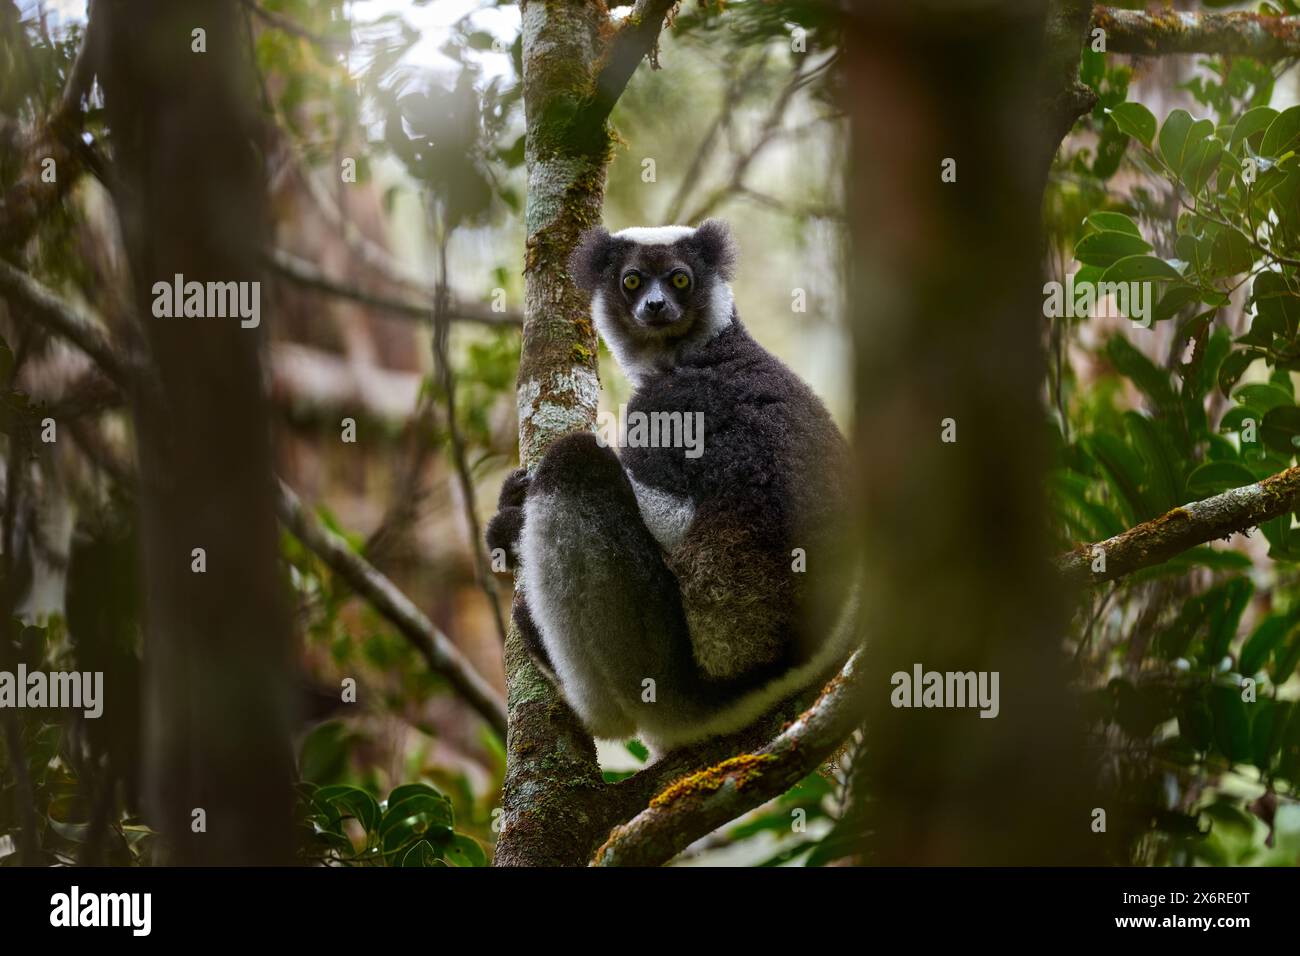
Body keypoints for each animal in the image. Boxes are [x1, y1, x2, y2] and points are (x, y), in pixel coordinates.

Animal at [487, 219, 856, 752]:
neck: (701, 348)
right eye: (632, 281)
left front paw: (509, 523)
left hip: (660, 669)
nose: (656, 306)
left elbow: (670, 511)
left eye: (680, 279)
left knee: (576, 464)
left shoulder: (673, 405)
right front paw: (511, 500)